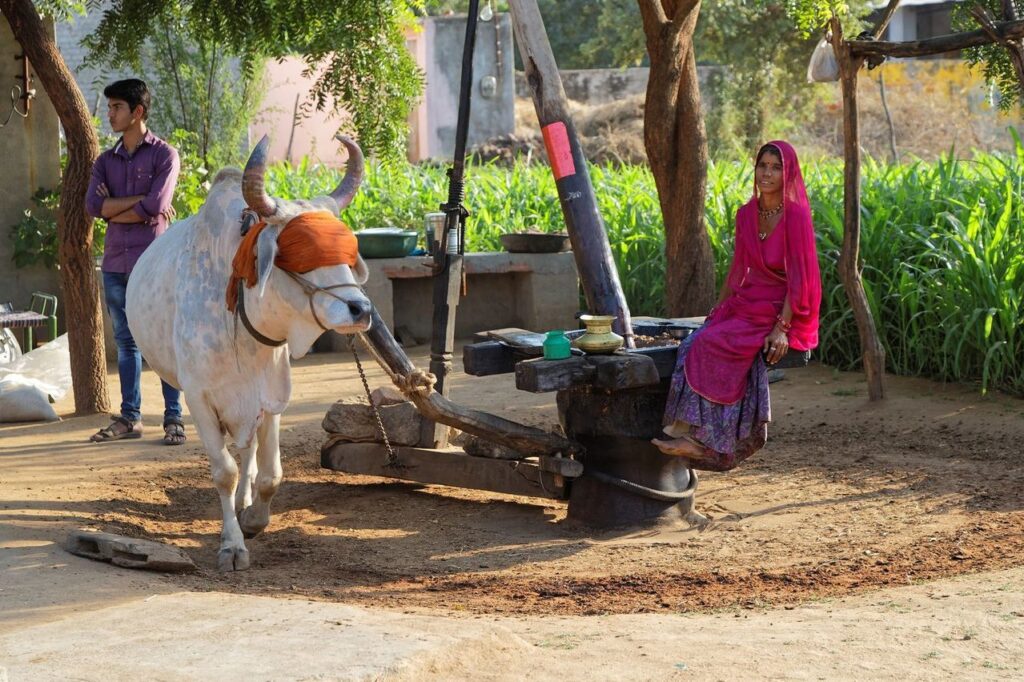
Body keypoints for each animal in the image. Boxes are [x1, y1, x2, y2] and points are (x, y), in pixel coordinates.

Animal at [126, 135, 373, 571]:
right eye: (299, 253)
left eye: (346, 251)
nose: (360, 310)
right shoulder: (199, 397)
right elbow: (222, 471)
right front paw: (232, 545)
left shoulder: (271, 395)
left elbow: (271, 473)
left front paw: (255, 519)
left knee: (251, 452)